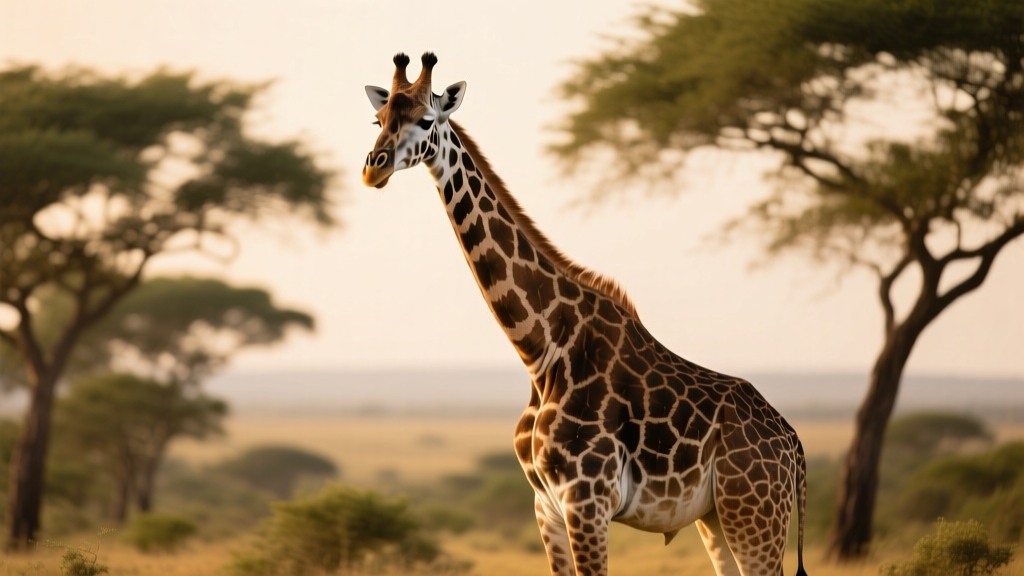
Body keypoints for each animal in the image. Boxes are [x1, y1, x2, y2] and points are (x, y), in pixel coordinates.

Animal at [362, 52, 809, 576]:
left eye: (427, 120)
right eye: (378, 120)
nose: (374, 169)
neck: (541, 350)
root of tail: (794, 446)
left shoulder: (588, 500)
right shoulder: (547, 506)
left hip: (754, 515)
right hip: (717, 518)